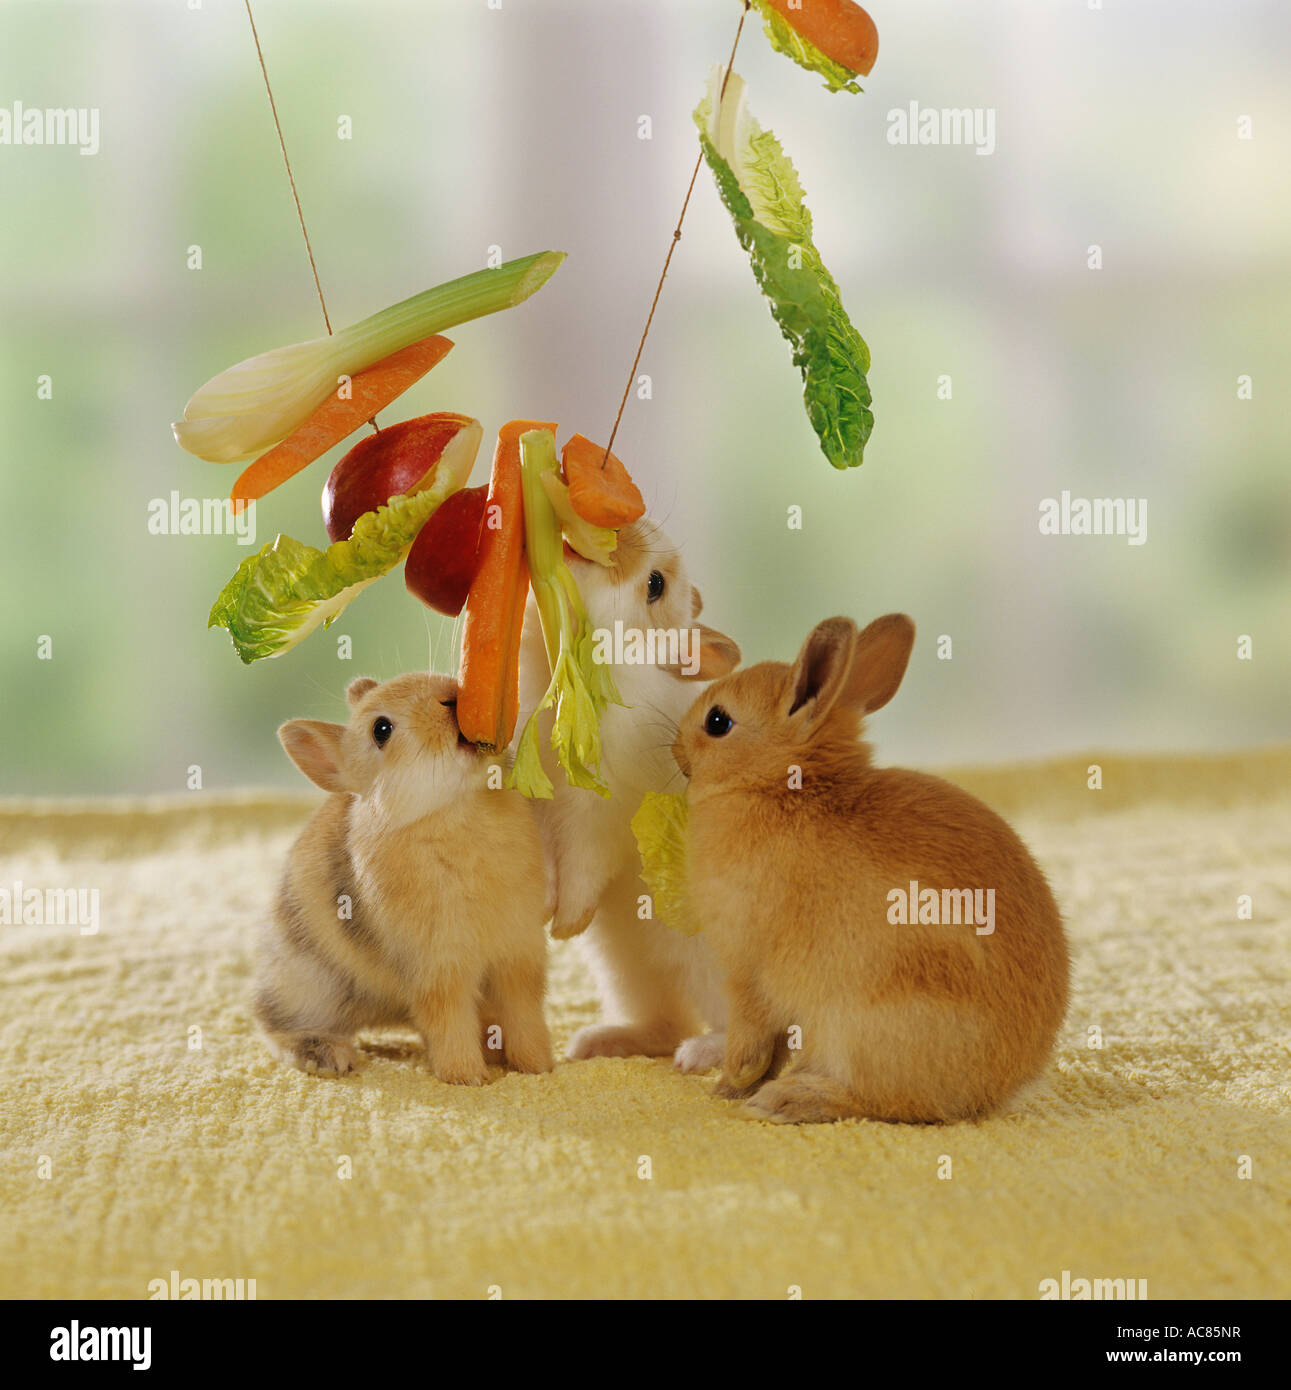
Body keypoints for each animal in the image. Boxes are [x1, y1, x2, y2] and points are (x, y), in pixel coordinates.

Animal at [254, 672, 553, 1083]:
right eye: (381, 730)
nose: (450, 697)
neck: (454, 808)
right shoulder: (438, 968)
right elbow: (448, 1022)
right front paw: (467, 1078)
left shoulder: (518, 956)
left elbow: (525, 1016)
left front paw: (540, 1068)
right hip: (307, 990)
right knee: (274, 1027)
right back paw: (328, 1056)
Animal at [516, 518, 741, 1069]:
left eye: (655, 585)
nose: (614, 533)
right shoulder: (530, 799)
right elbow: (546, 860)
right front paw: (547, 913)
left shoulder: (598, 816)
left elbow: (582, 867)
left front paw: (563, 926)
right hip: (627, 969)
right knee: (664, 1023)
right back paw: (595, 1043)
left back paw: (699, 1055)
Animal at [672, 614, 1070, 1124]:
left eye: (717, 721)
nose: (676, 749)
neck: (783, 788)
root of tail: (997, 1086)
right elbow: (773, 1046)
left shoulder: (745, 966)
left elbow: (750, 1040)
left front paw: (729, 1087)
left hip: (863, 1026)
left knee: (882, 1100)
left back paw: (788, 1100)